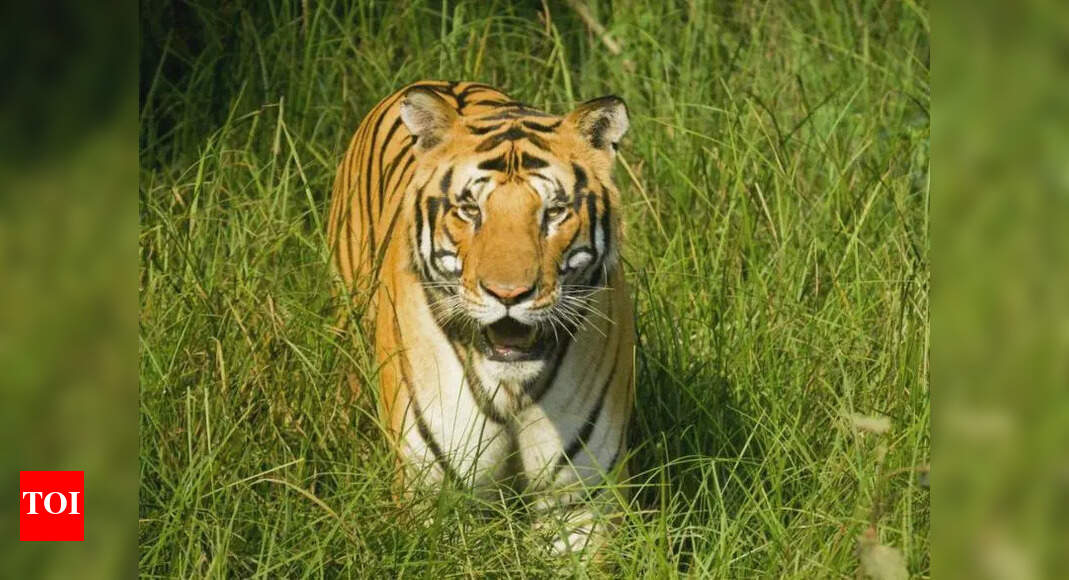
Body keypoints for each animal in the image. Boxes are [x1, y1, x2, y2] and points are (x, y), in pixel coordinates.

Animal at [327, 80, 634, 554]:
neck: (512, 388)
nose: (508, 294)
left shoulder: (578, 501)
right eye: (470, 210)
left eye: (554, 212)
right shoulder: (437, 493)